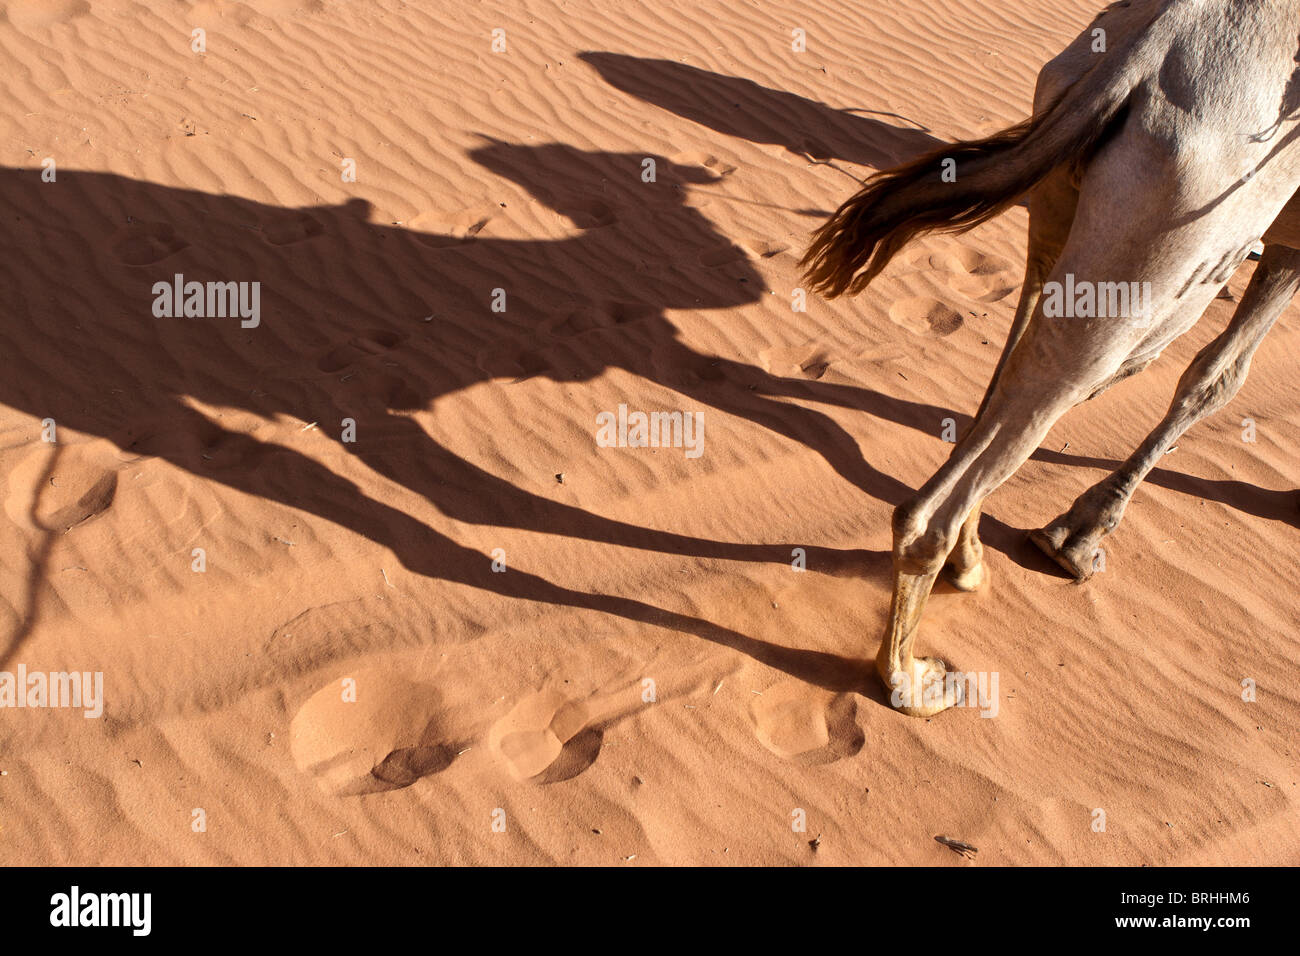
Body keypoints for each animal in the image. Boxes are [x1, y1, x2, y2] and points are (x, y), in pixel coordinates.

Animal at [801, 0, 1300, 715]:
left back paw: (970, 565)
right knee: (1070, 382)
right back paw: (910, 680)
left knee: (1015, 370)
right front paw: (1079, 538)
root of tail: (1149, 46)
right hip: (1174, 256)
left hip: (1062, 212)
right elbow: (1217, 378)